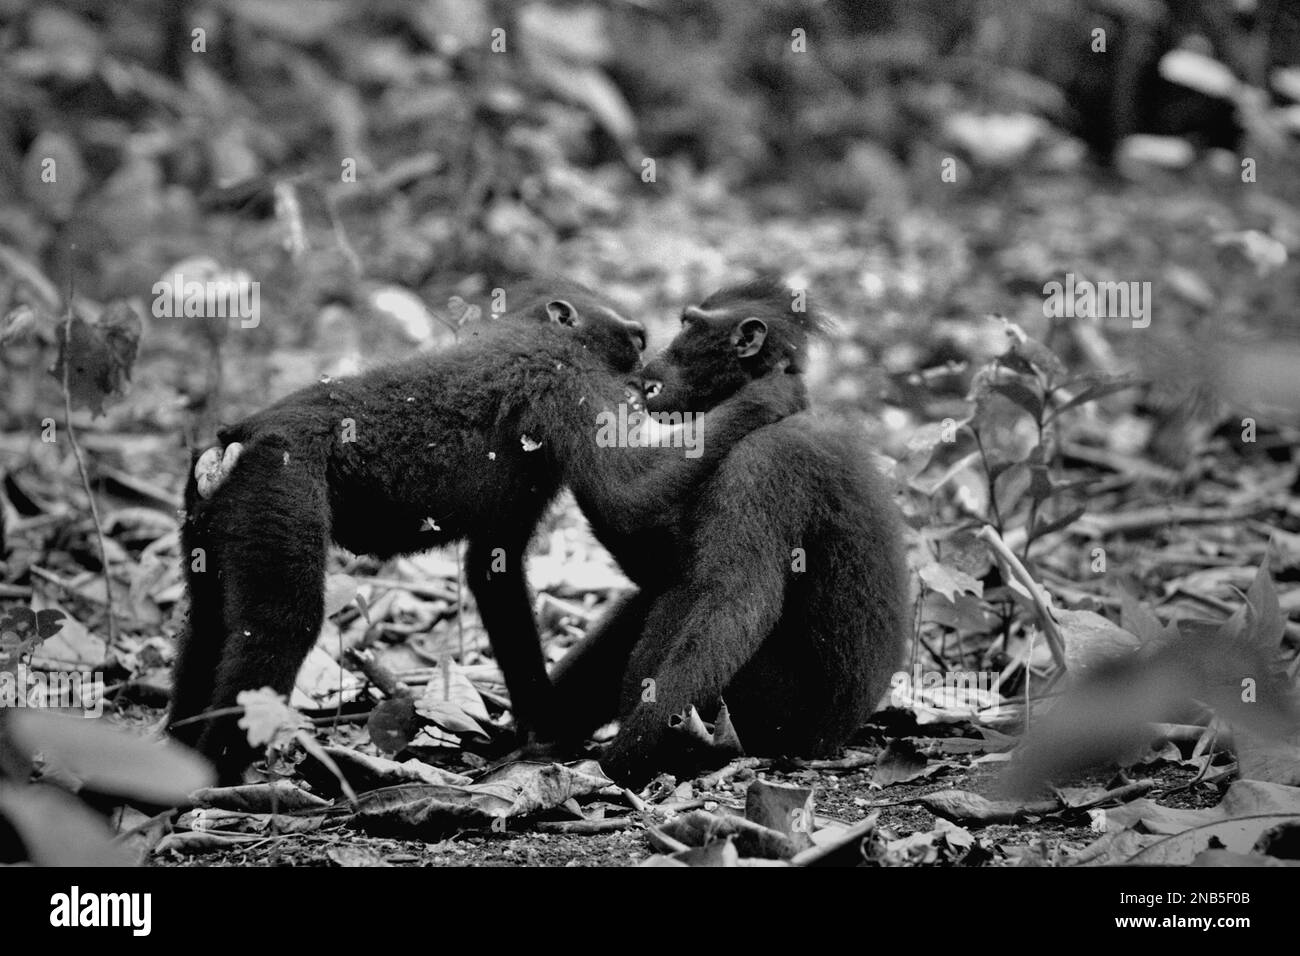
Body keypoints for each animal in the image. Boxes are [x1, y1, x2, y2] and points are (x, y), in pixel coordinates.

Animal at [167, 280, 805, 782]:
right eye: (637, 338)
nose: (643, 350)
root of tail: (240, 436)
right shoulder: (562, 373)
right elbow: (629, 493)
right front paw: (771, 393)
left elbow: (493, 567)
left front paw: (543, 728)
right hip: (279, 478)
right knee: (281, 624)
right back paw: (218, 780)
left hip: (211, 517)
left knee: (209, 623)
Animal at [549, 277, 909, 784]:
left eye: (688, 325)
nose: (652, 351)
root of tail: (831, 743)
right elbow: (663, 559)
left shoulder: (763, 466)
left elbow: (733, 599)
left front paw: (628, 751)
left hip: (772, 716)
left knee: (686, 601)